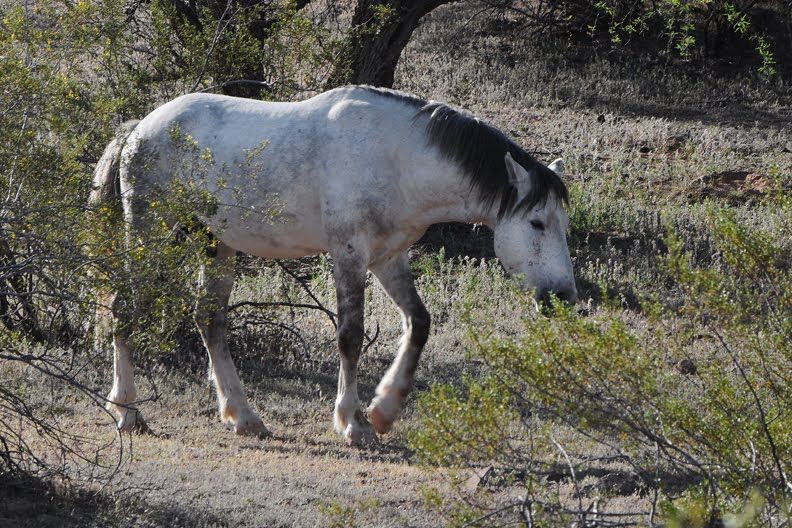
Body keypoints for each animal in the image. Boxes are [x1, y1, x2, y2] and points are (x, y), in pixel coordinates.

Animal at [91, 85, 577, 445]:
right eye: (537, 222)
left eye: (563, 224)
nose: (564, 298)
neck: (397, 157)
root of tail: (138, 129)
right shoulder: (348, 255)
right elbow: (350, 337)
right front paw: (354, 422)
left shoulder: (388, 258)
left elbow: (418, 323)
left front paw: (384, 410)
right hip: (152, 232)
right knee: (124, 309)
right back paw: (127, 411)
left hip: (218, 245)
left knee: (209, 320)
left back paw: (244, 416)